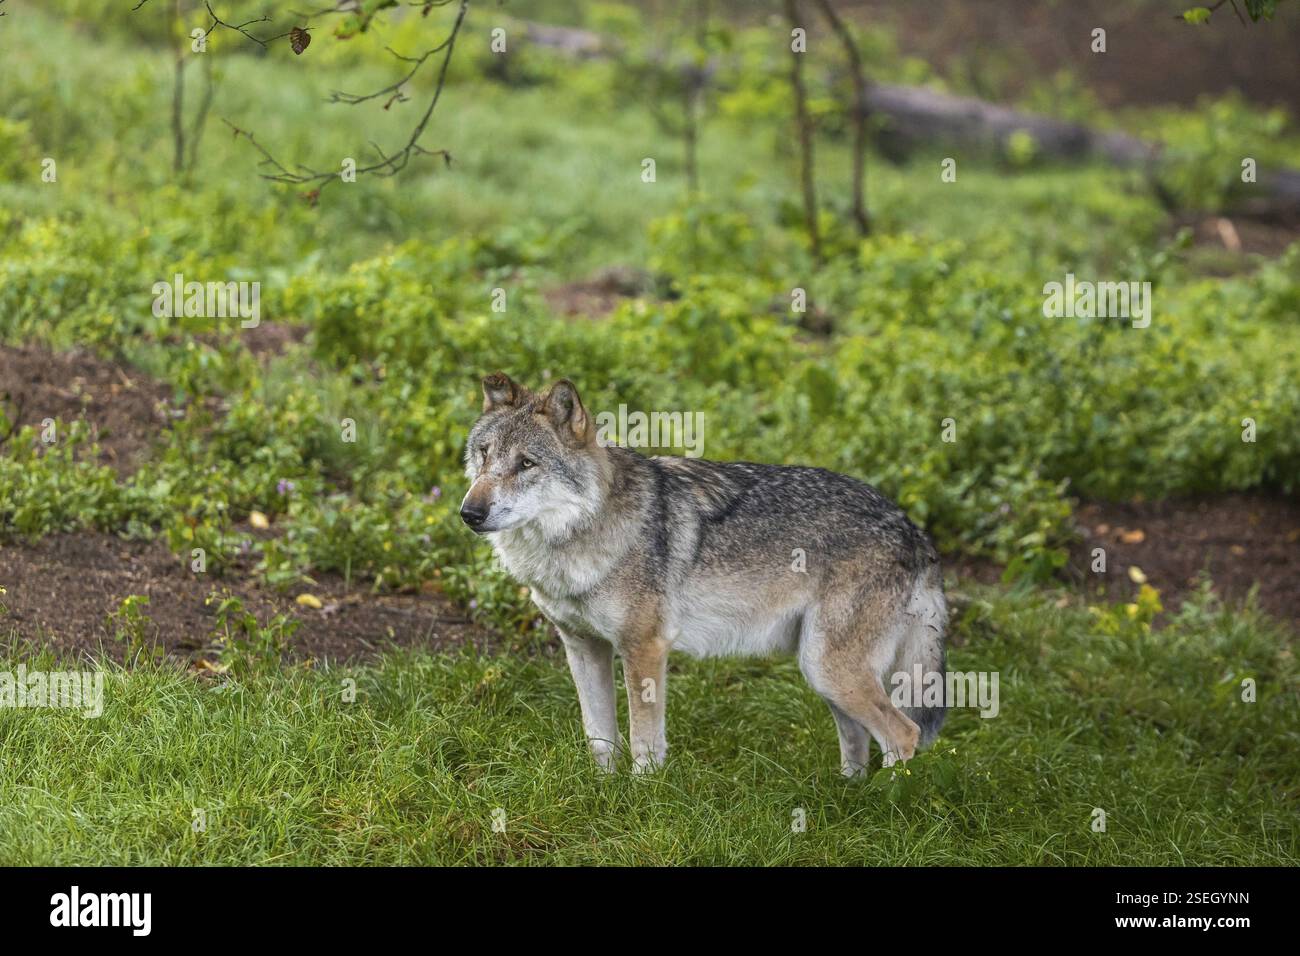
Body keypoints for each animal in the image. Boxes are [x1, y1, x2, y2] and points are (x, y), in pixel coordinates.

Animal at [460, 373, 948, 775]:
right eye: (483, 456)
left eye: (526, 463)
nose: (469, 513)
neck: (582, 535)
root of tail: (913, 530)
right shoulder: (582, 646)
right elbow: (600, 738)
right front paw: (603, 791)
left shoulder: (644, 649)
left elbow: (643, 742)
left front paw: (642, 799)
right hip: (821, 671)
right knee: (860, 740)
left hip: (828, 669)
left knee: (904, 735)